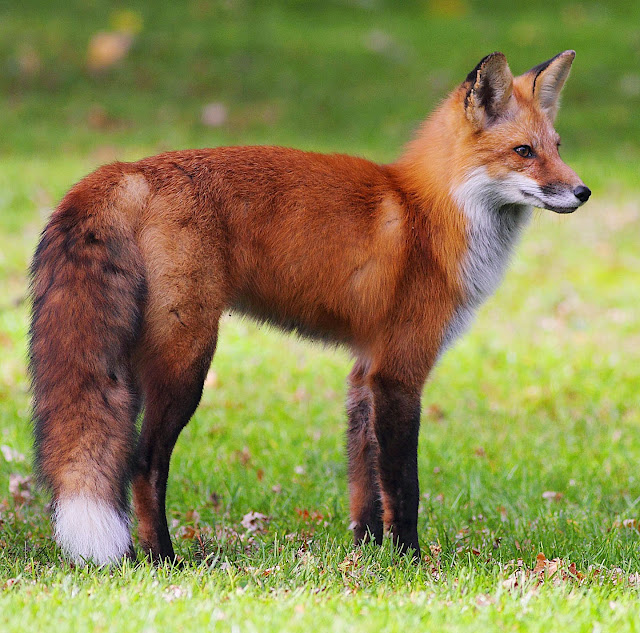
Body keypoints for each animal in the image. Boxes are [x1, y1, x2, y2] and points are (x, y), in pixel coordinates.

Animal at [29, 50, 590, 566]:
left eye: (557, 148)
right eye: (523, 151)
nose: (583, 192)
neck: (433, 216)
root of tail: (131, 168)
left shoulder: (365, 372)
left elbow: (365, 485)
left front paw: (368, 559)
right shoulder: (399, 374)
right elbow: (403, 487)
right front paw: (411, 562)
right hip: (186, 362)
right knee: (143, 464)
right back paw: (164, 559)